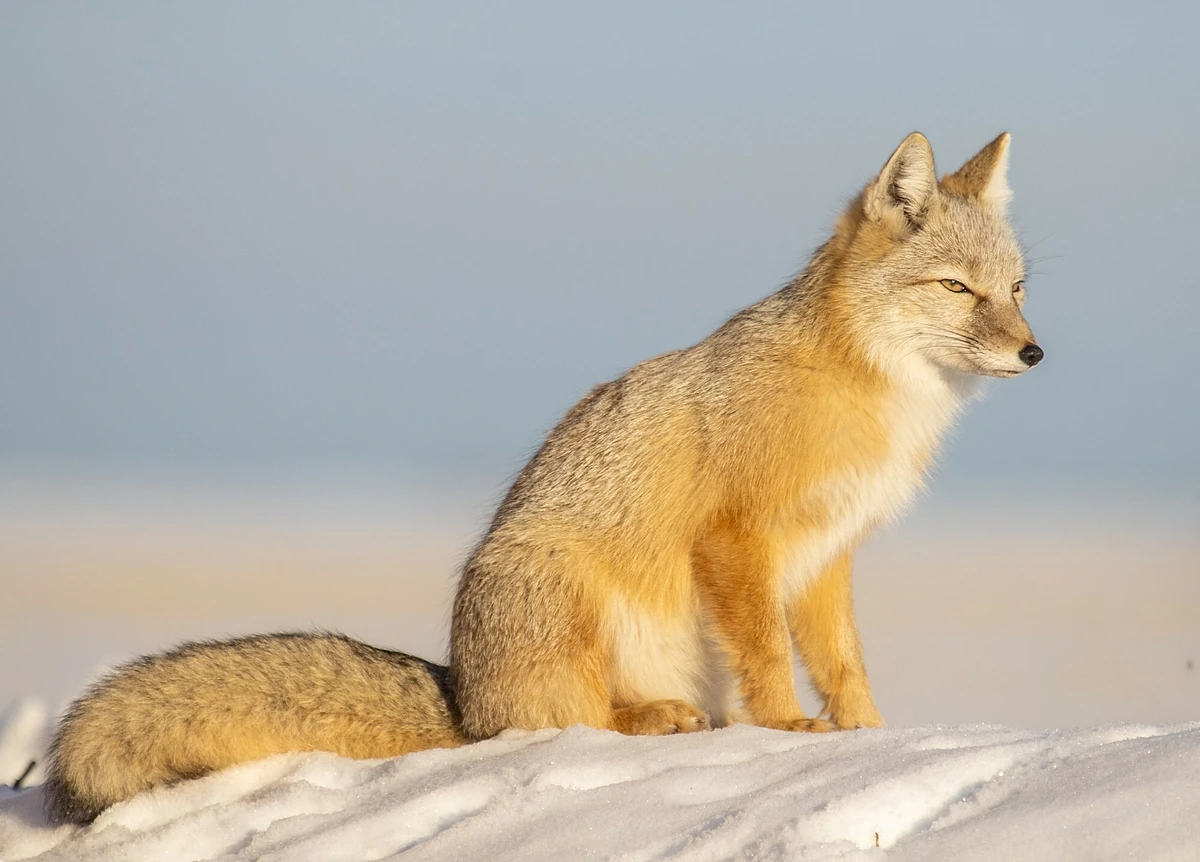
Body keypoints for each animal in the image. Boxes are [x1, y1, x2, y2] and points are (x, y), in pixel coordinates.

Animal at [45, 131, 1042, 824]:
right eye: (957, 288)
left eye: (1019, 287)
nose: (1035, 353)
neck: (873, 397)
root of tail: (463, 696)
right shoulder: (738, 541)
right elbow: (767, 658)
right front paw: (789, 732)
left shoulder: (827, 556)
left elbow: (843, 666)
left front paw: (873, 736)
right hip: (571, 595)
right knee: (576, 723)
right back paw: (657, 721)